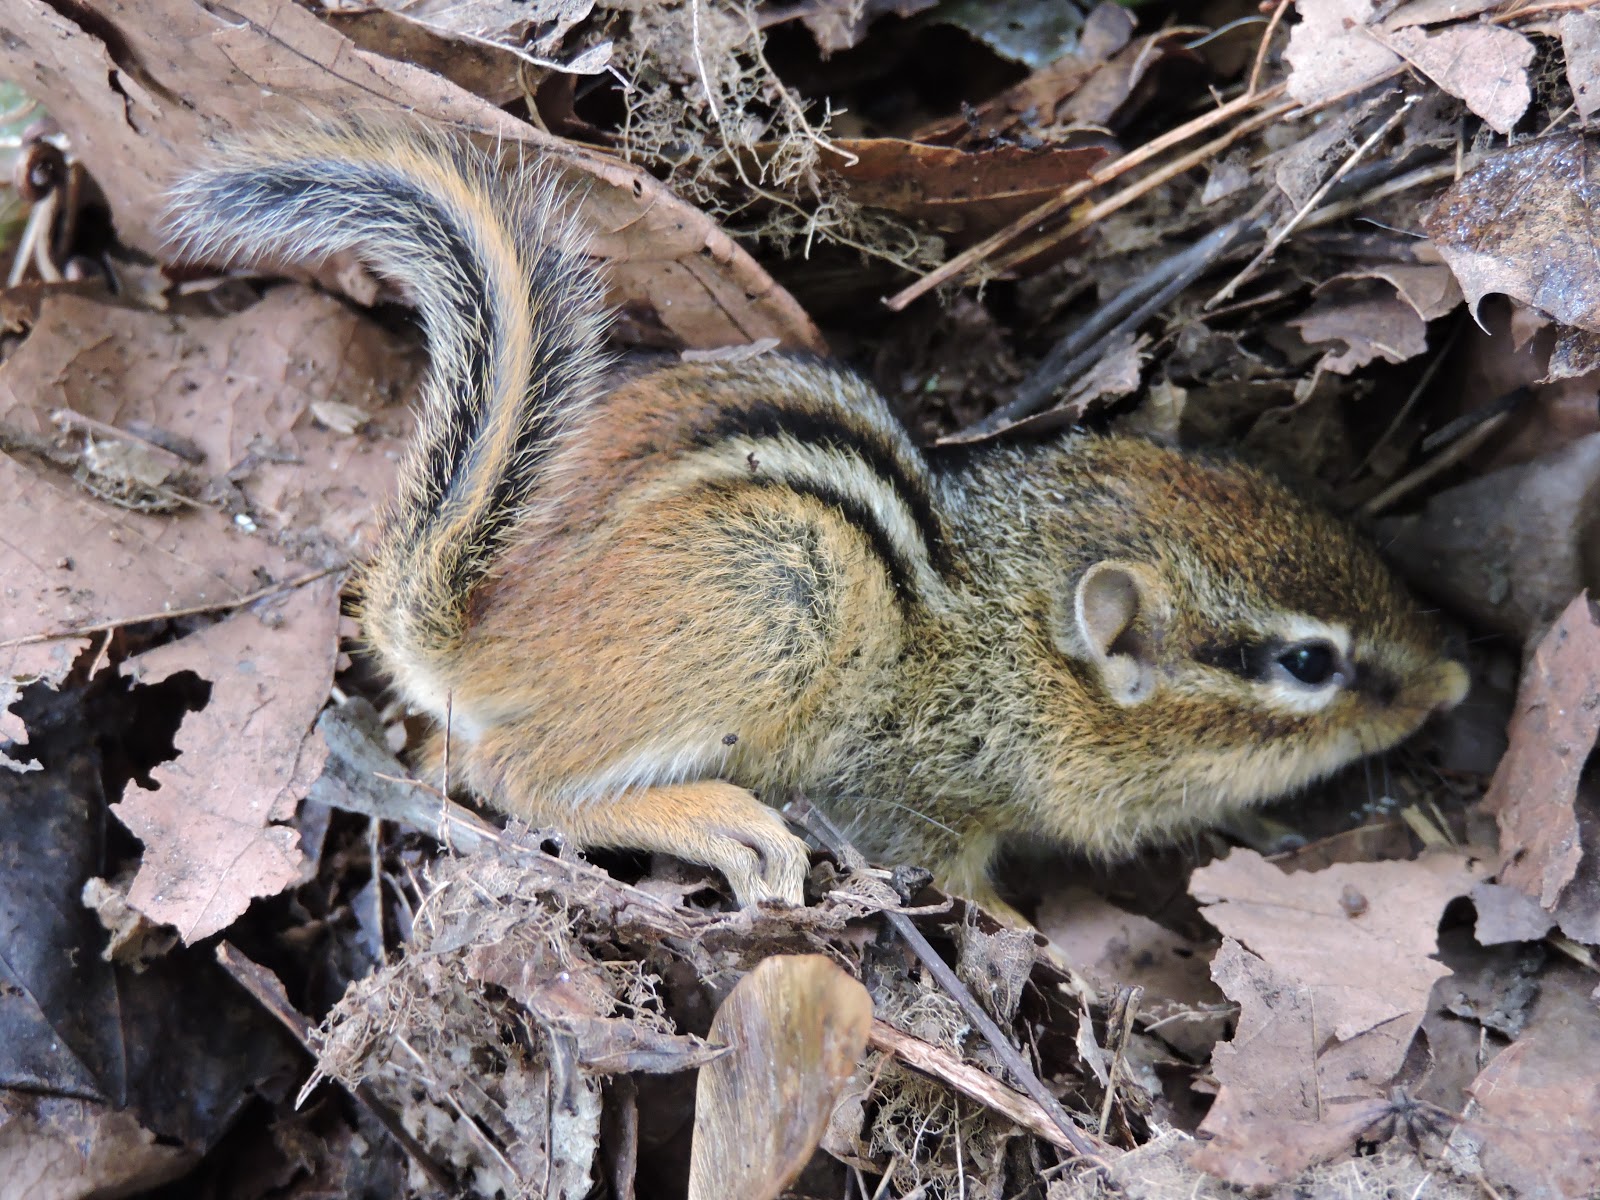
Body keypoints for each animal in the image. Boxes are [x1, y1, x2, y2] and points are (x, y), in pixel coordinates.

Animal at [167, 123, 1470, 920]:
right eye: (1306, 664)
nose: (1452, 683)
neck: (1012, 647)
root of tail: (470, 631)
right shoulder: (917, 803)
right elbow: (963, 882)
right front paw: (1030, 940)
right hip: (780, 595)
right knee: (508, 774)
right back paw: (717, 823)